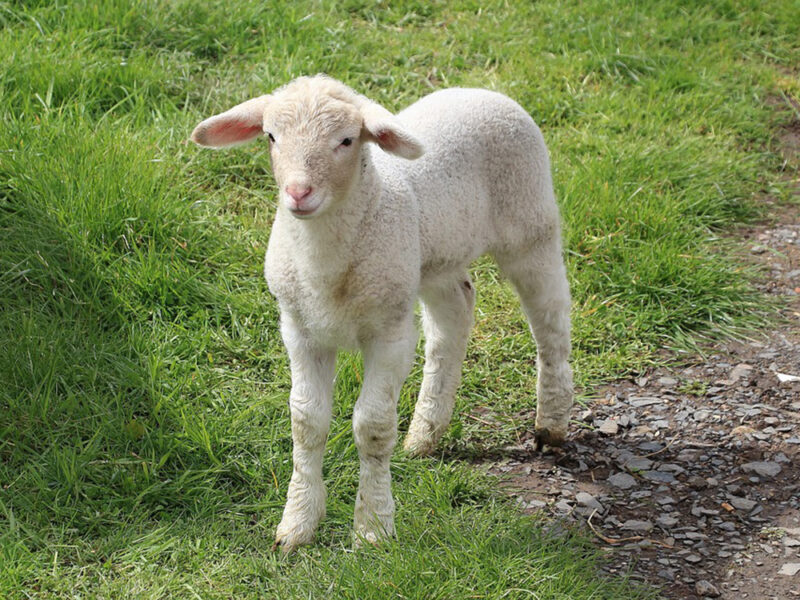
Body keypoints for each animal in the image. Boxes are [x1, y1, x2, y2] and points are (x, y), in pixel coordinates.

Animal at [191, 75, 573, 552]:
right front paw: (297, 524)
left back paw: (551, 422)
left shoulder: (390, 334)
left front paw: (373, 528)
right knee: (455, 313)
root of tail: (481, 90)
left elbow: (371, 426)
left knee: (551, 321)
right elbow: (306, 422)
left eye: (346, 140)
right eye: (271, 137)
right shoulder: (299, 329)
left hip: (530, 225)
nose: (298, 193)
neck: (325, 268)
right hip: (429, 261)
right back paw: (425, 432)